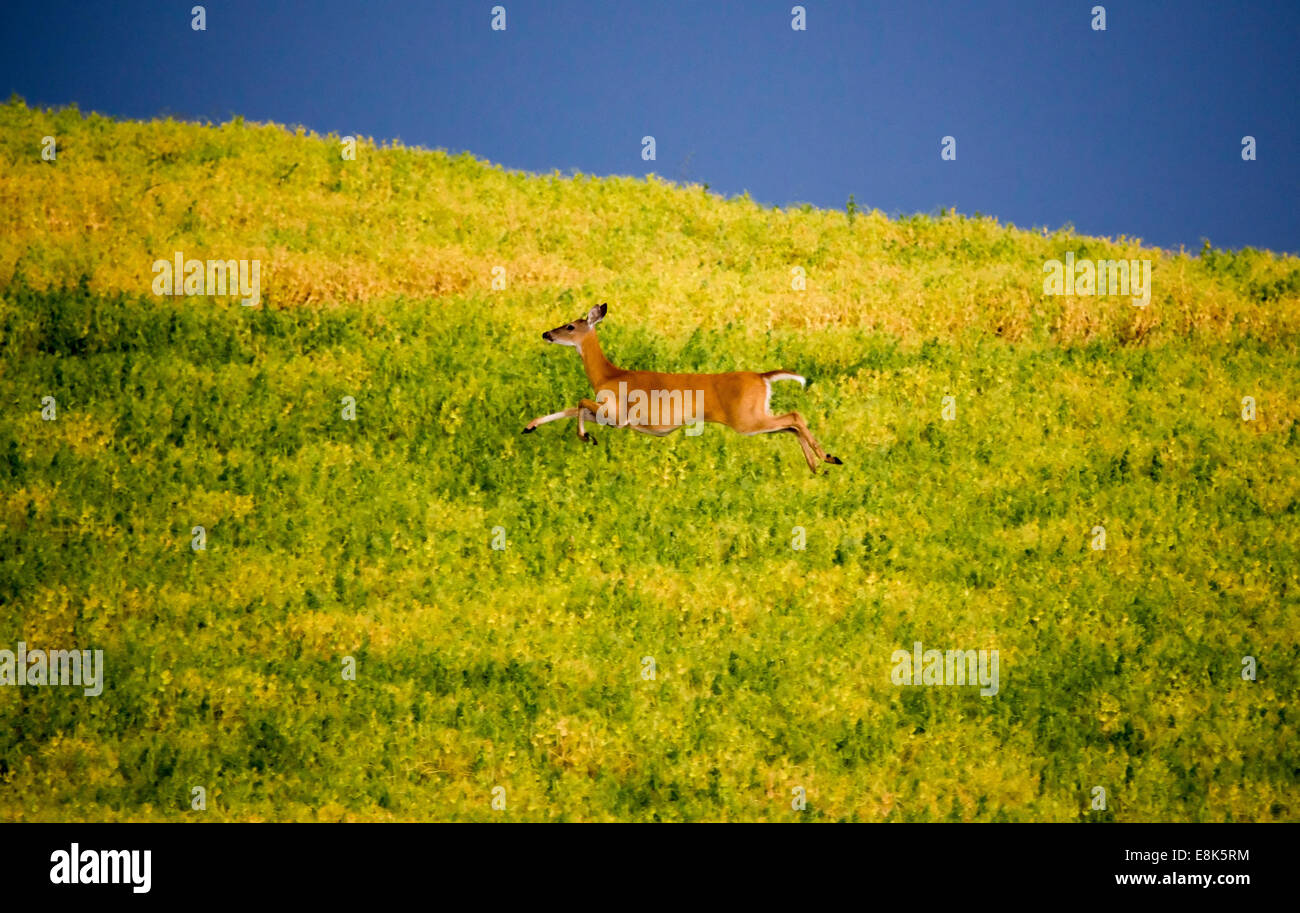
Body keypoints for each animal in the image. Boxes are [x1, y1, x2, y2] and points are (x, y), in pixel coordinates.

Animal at [522, 303, 843, 473]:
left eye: (570, 326)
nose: (546, 333)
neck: (607, 375)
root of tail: (763, 376)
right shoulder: (610, 415)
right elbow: (570, 408)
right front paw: (529, 426)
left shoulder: (619, 414)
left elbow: (579, 402)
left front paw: (586, 437)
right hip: (756, 415)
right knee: (791, 424)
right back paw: (819, 465)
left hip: (746, 419)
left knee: (794, 417)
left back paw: (828, 458)